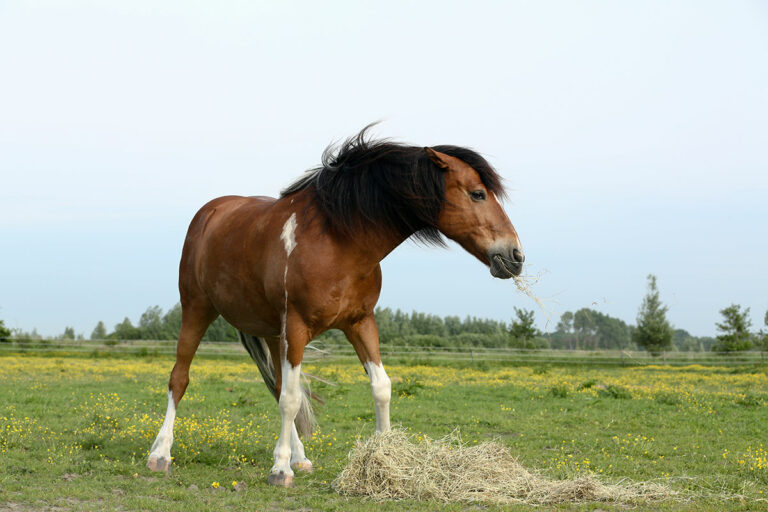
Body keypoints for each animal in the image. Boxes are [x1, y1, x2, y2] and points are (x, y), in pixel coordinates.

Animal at [146, 127, 525, 487]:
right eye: (477, 193)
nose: (515, 255)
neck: (339, 241)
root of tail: (210, 213)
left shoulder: (360, 322)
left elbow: (380, 387)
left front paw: (381, 460)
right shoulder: (298, 327)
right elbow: (291, 400)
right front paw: (280, 471)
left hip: (273, 333)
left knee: (280, 386)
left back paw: (300, 457)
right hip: (198, 309)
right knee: (180, 378)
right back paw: (160, 454)